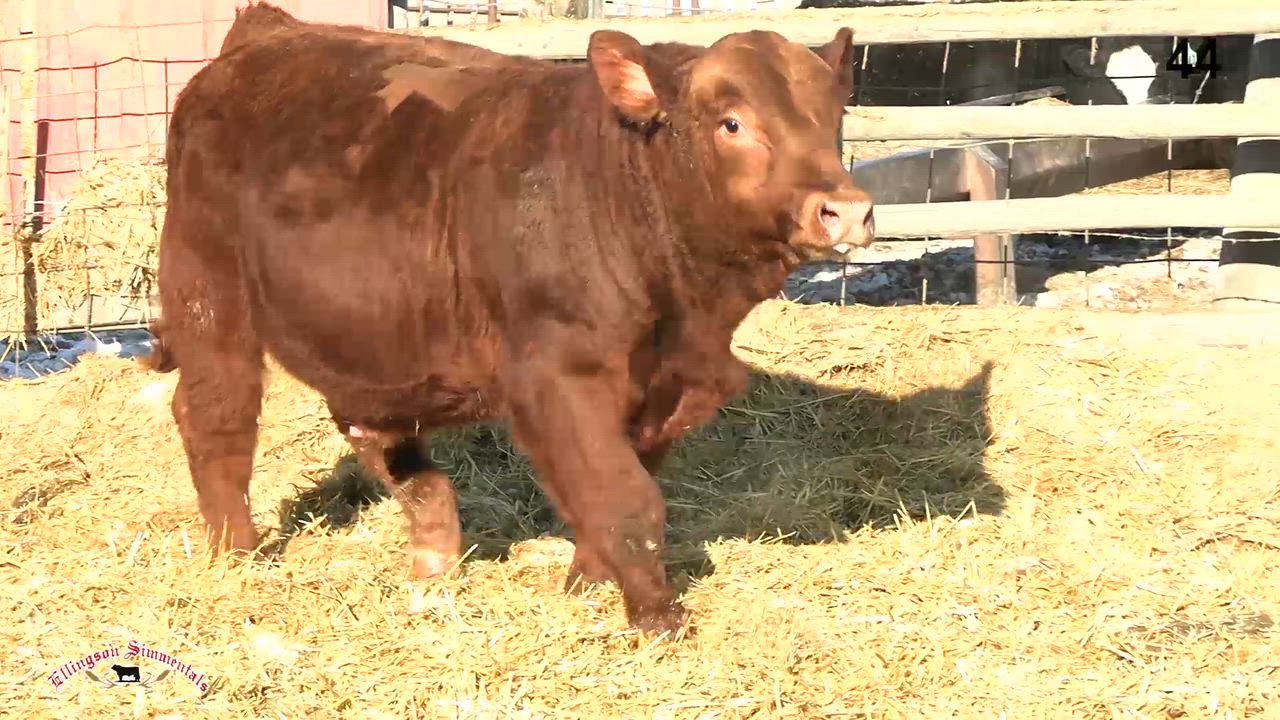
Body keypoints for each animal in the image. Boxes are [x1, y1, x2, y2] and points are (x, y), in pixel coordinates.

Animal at [146, 5, 874, 635]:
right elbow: (627, 498)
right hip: (207, 296)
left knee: (379, 437)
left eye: (832, 115)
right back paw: (237, 553)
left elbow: (612, 489)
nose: (844, 210)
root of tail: (265, 35)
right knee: (216, 418)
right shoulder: (559, 378)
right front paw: (657, 618)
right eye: (731, 123)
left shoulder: (670, 386)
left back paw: (435, 554)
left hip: (374, 340)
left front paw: (588, 583)